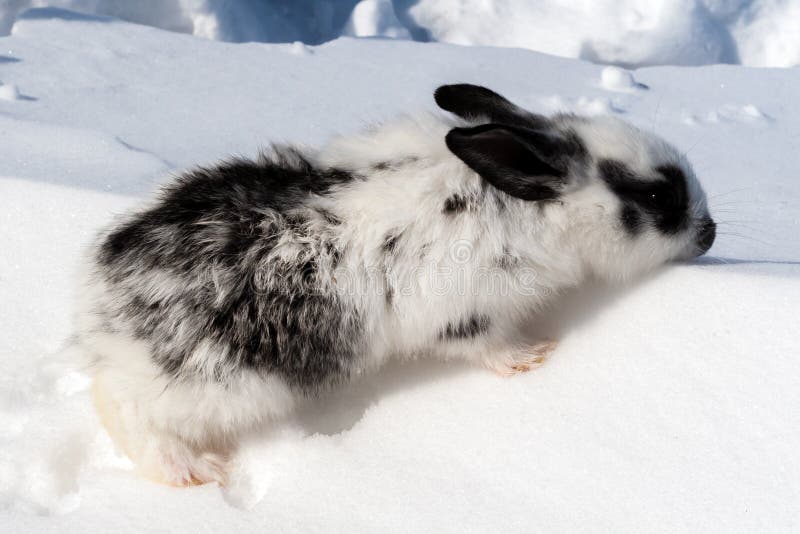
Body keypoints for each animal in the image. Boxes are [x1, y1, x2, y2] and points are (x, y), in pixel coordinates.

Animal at [76, 84, 716, 486]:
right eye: (657, 194)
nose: (708, 234)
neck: (525, 206)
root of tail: (110, 297)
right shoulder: (464, 312)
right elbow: (486, 346)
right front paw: (534, 356)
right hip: (213, 383)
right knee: (127, 409)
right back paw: (194, 473)